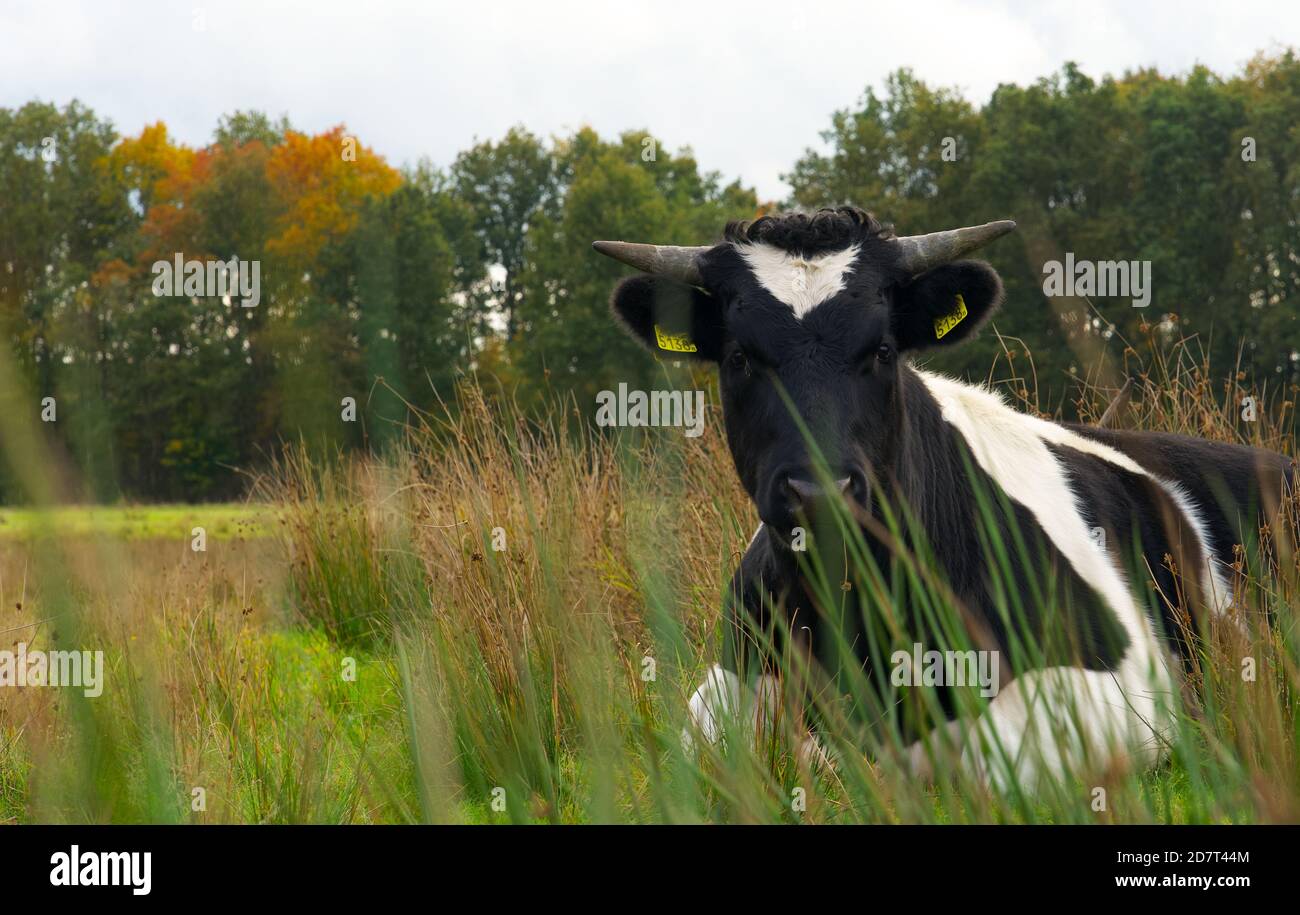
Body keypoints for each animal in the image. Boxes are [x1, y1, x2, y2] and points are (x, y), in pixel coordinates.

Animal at [593, 207, 1292, 792]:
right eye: (739, 357)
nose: (819, 491)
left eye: (881, 351)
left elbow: (987, 759)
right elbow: (722, 749)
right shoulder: (727, 684)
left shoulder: (1125, 692)